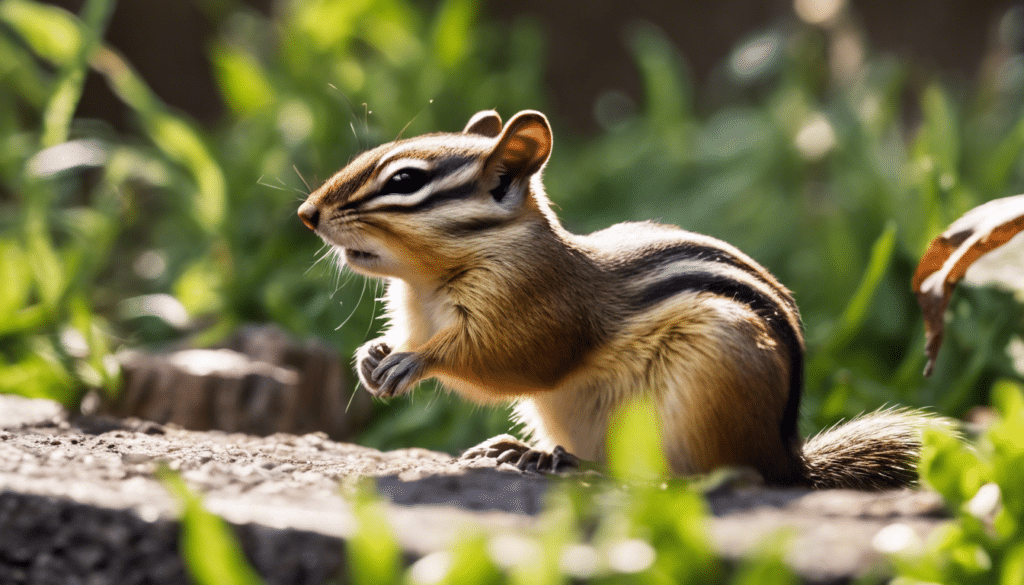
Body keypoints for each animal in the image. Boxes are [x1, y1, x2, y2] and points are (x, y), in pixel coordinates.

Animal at [297, 109, 936, 489]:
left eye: (404, 181)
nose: (306, 214)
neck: (427, 282)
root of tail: (788, 462)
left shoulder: (539, 306)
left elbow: (505, 361)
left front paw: (413, 362)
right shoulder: (416, 311)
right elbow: (405, 340)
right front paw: (373, 356)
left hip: (709, 392)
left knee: (705, 479)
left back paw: (580, 466)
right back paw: (529, 453)